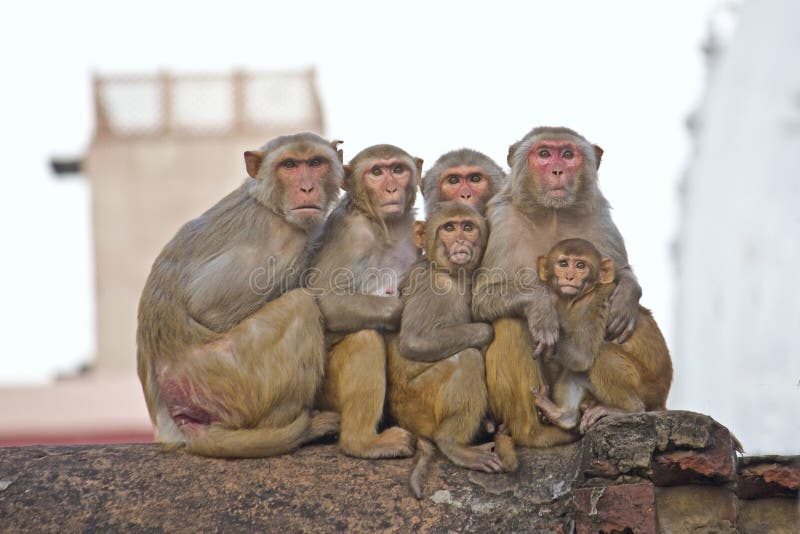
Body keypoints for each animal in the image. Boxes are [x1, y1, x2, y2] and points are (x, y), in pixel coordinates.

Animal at [136, 132, 344, 458]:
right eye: (289, 165)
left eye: (315, 163)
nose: (307, 188)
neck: (270, 204)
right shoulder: (280, 240)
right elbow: (208, 309)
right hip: (226, 380)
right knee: (301, 306)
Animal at [308, 144, 422, 459]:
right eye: (377, 172)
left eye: (398, 170)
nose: (391, 188)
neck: (383, 227)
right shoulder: (350, 233)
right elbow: (326, 301)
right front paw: (398, 310)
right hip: (324, 391)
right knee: (366, 338)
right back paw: (363, 442)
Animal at [386, 202, 518, 498]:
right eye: (449, 228)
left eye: (467, 227)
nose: (460, 241)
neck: (451, 274)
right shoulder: (430, 287)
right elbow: (414, 341)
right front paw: (485, 334)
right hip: (418, 402)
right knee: (466, 359)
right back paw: (453, 444)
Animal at [472, 126, 643, 447]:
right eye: (543, 153)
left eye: (567, 154)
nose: (558, 170)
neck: (552, 213)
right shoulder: (502, 222)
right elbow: (481, 298)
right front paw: (541, 309)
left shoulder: (598, 216)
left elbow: (620, 273)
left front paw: (627, 297)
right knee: (511, 321)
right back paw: (534, 432)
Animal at [530, 238, 672, 433]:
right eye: (563, 264)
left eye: (580, 265)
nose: (569, 277)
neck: (578, 299)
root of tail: (662, 398)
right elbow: (578, 362)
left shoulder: (597, 302)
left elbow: (581, 356)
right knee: (578, 371)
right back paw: (563, 416)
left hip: (648, 389)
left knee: (602, 354)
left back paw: (628, 409)